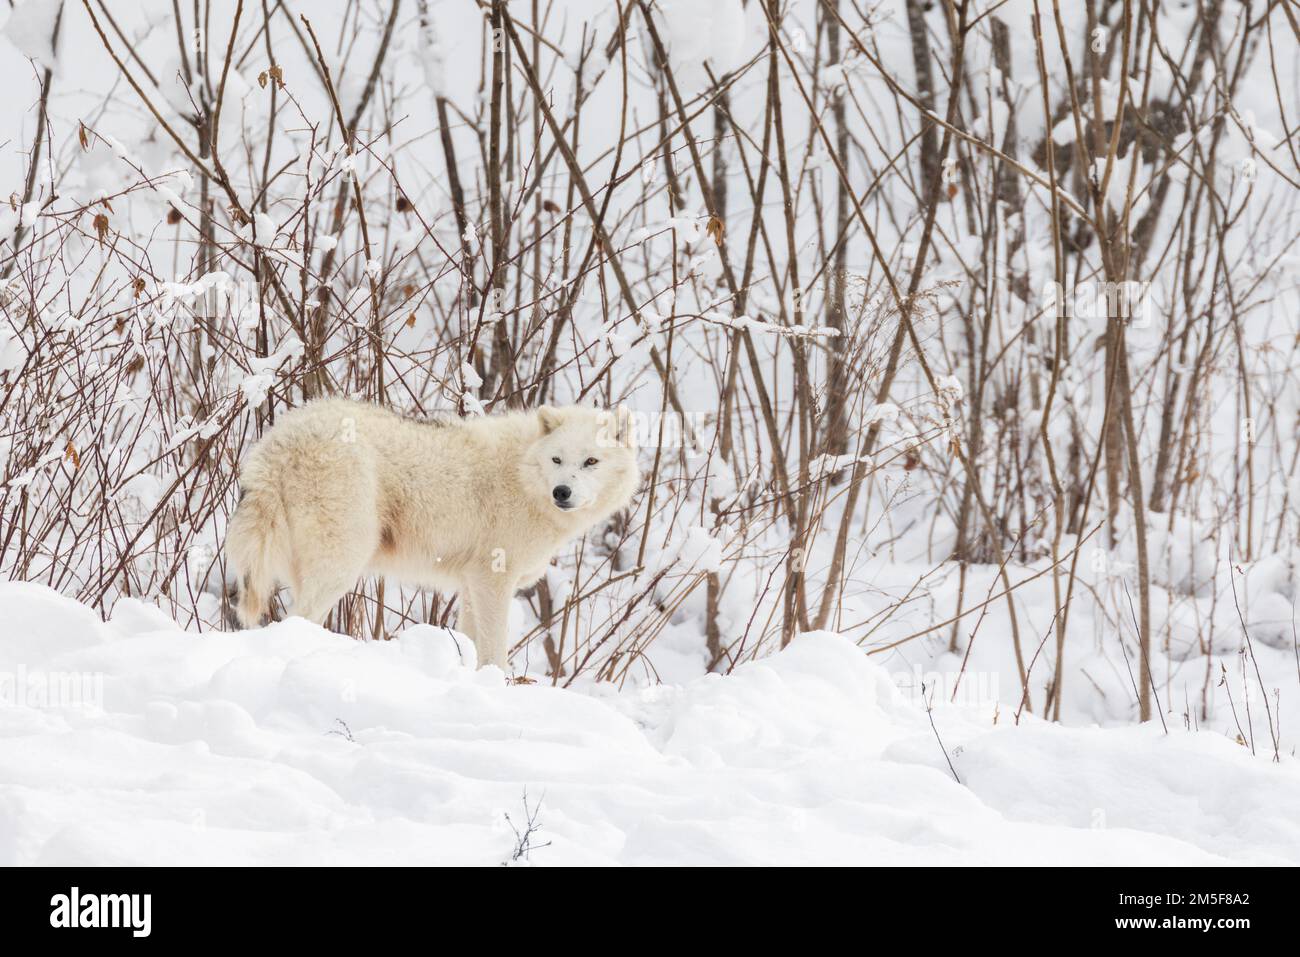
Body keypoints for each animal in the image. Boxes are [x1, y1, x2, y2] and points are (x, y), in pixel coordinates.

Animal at [225, 400, 639, 670]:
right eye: (557, 460)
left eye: (591, 461)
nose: (562, 492)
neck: (523, 475)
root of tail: (283, 435)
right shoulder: (494, 579)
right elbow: (494, 651)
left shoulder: (473, 583)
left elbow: (471, 642)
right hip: (342, 565)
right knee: (299, 618)